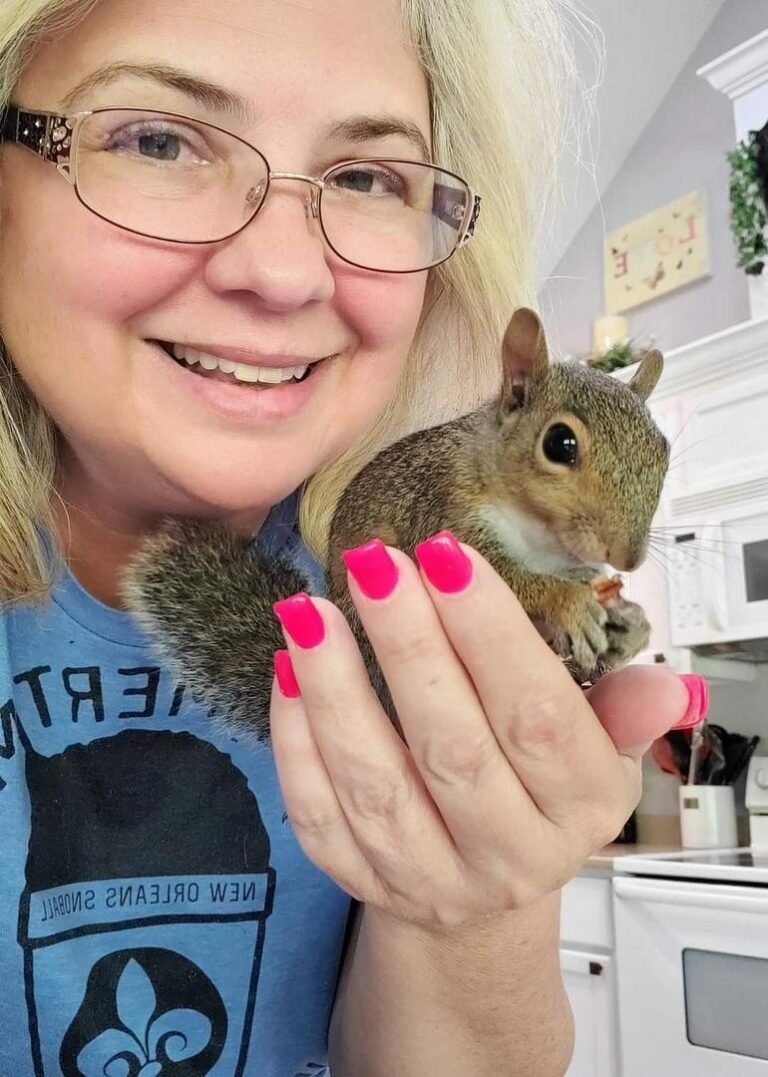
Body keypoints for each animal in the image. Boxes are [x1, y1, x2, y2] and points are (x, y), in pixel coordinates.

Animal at [121, 307, 669, 743]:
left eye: (663, 450)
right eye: (559, 444)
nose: (629, 558)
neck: (539, 535)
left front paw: (632, 624)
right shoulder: (442, 514)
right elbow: (511, 578)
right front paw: (568, 603)